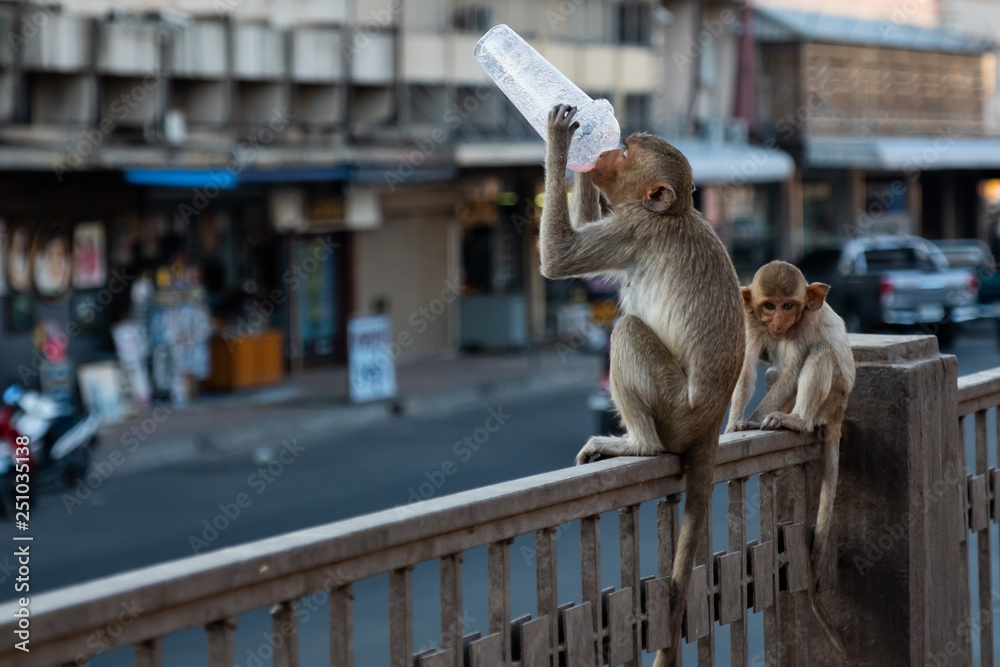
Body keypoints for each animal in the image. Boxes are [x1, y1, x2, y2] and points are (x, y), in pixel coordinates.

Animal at [540, 104, 745, 663]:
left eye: (627, 152)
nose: (607, 151)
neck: (671, 215)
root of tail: (708, 425)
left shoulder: (633, 228)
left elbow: (560, 258)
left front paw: (559, 142)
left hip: (675, 407)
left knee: (627, 331)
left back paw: (638, 445)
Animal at [725, 260, 856, 654]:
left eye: (789, 305)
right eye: (770, 305)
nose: (780, 321)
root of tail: (838, 415)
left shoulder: (807, 323)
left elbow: (798, 365)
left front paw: (751, 421)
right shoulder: (752, 321)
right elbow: (746, 369)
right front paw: (734, 424)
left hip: (834, 398)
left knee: (821, 353)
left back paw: (794, 420)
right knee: (773, 369)